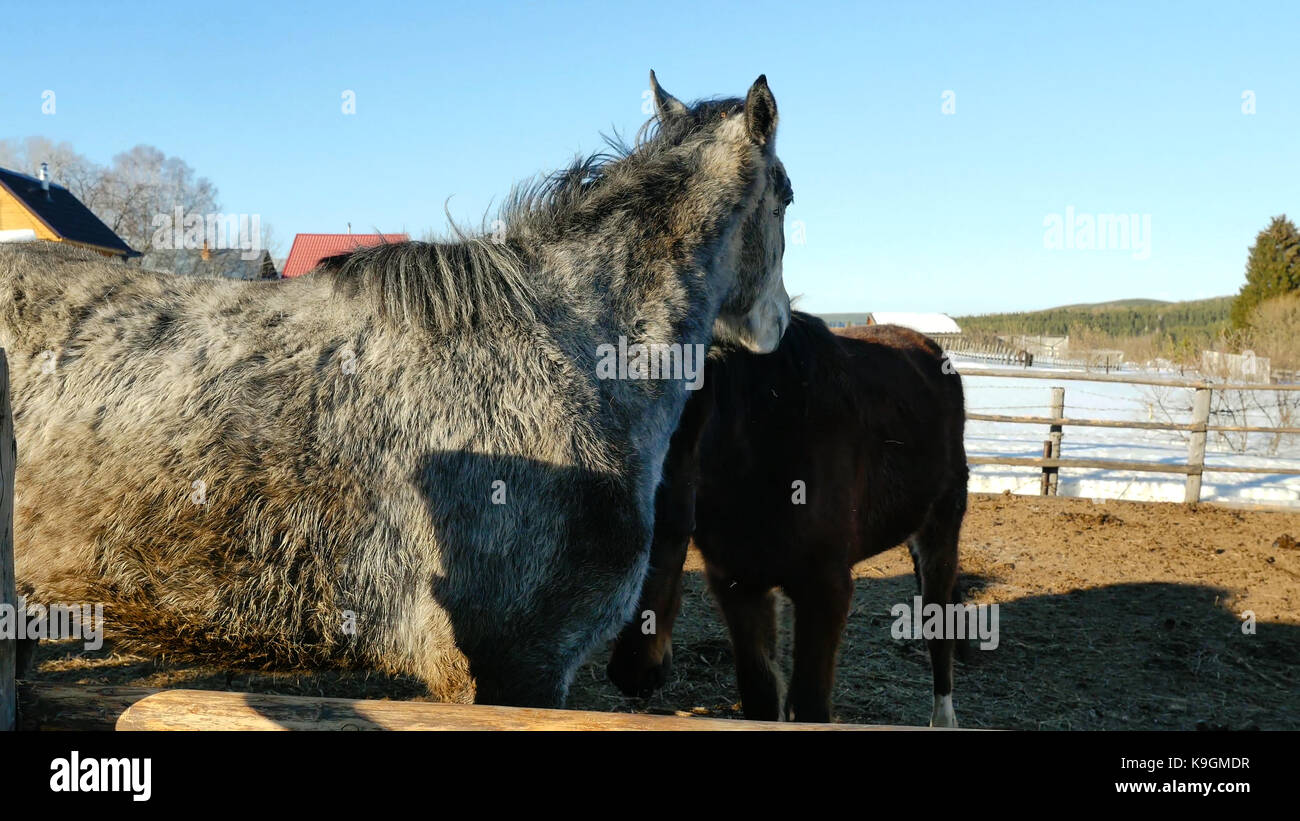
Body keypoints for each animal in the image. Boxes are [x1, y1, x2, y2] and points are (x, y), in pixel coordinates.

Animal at [606, 313, 968, 725]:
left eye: (677, 527)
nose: (633, 674)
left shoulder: (826, 590)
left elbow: (811, 707)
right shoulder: (739, 586)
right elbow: (761, 697)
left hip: (942, 527)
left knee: (939, 622)